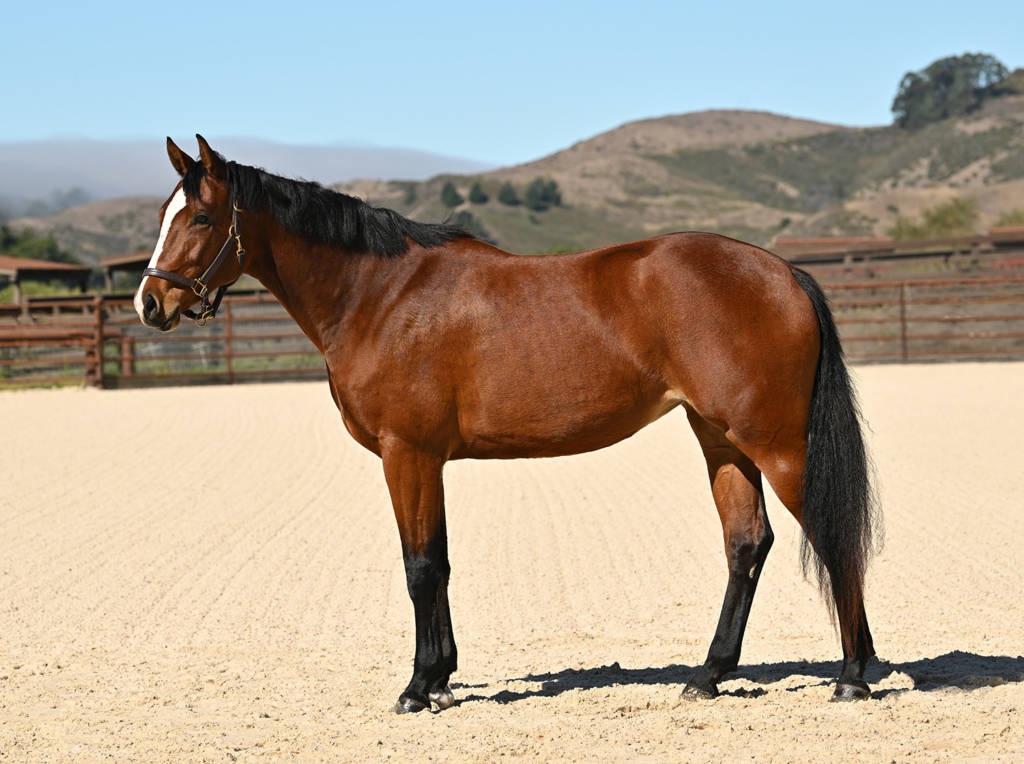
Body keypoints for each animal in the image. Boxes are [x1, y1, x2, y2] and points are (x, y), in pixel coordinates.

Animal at [135, 135, 879, 713]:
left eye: (201, 216)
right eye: (165, 213)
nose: (149, 302)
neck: (381, 296)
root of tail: (783, 271)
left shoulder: (407, 453)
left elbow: (420, 566)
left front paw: (417, 688)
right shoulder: (426, 460)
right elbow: (438, 561)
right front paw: (440, 678)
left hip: (775, 444)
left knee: (831, 534)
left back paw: (850, 676)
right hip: (720, 439)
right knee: (746, 544)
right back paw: (709, 675)